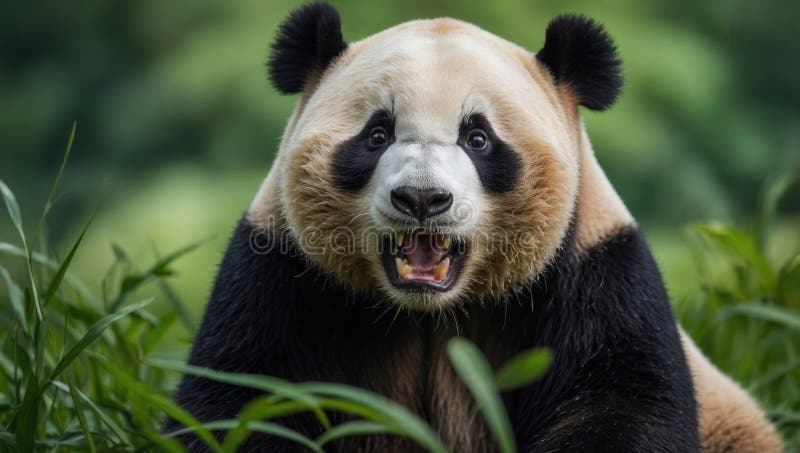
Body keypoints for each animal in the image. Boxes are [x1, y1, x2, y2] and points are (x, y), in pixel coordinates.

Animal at [168, 4, 782, 452]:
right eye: (377, 135)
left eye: (478, 138)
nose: (422, 198)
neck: (427, 311)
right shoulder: (281, 269)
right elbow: (244, 397)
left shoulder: (597, 268)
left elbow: (620, 401)